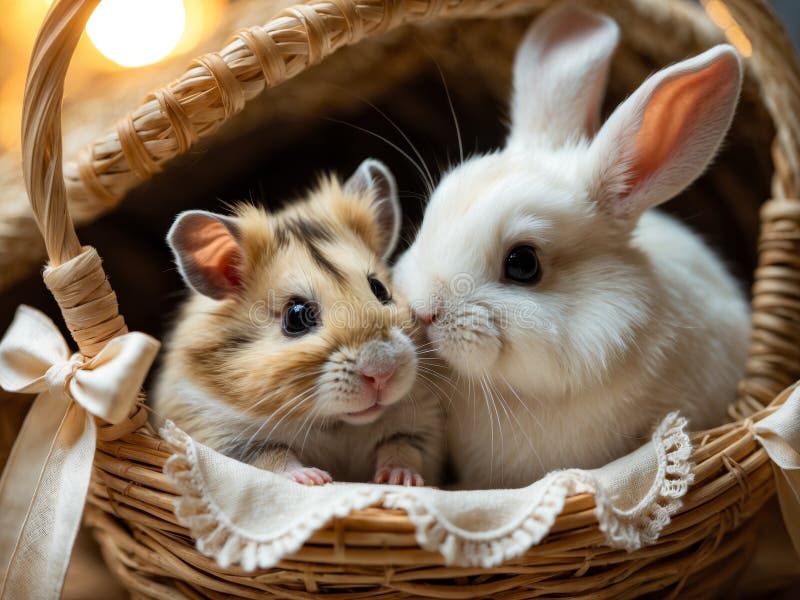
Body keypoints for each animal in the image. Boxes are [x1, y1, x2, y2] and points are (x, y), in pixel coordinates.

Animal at [153, 159, 444, 486]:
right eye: (296, 317)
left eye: (380, 289)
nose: (382, 373)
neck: (336, 423)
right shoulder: (231, 439)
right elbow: (275, 458)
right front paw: (315, 478)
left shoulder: (419, 424)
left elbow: (401, 449)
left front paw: (400, 480)